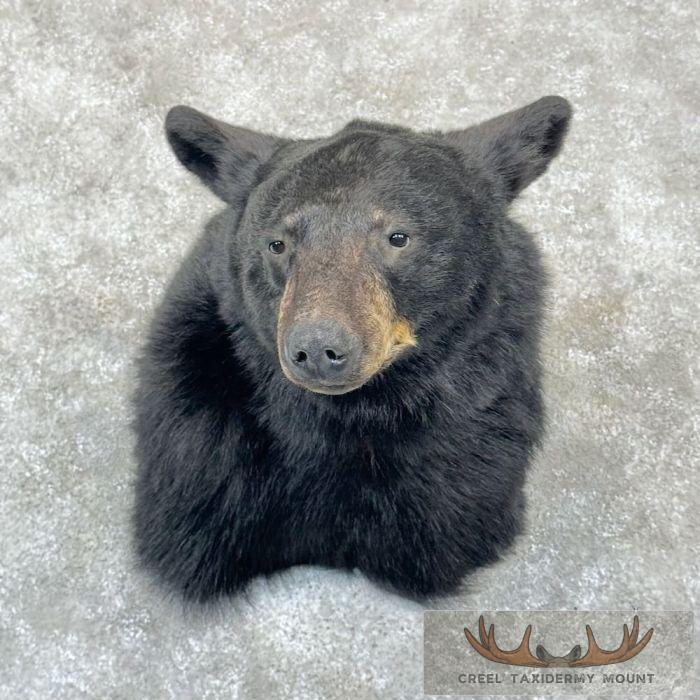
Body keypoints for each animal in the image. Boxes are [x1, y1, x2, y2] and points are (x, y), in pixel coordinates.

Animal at [133, 96, 571, 602]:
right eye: (277, 244)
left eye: (398, 236)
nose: (318, 348)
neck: (350, 419)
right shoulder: (196, 458)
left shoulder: (469, 463)